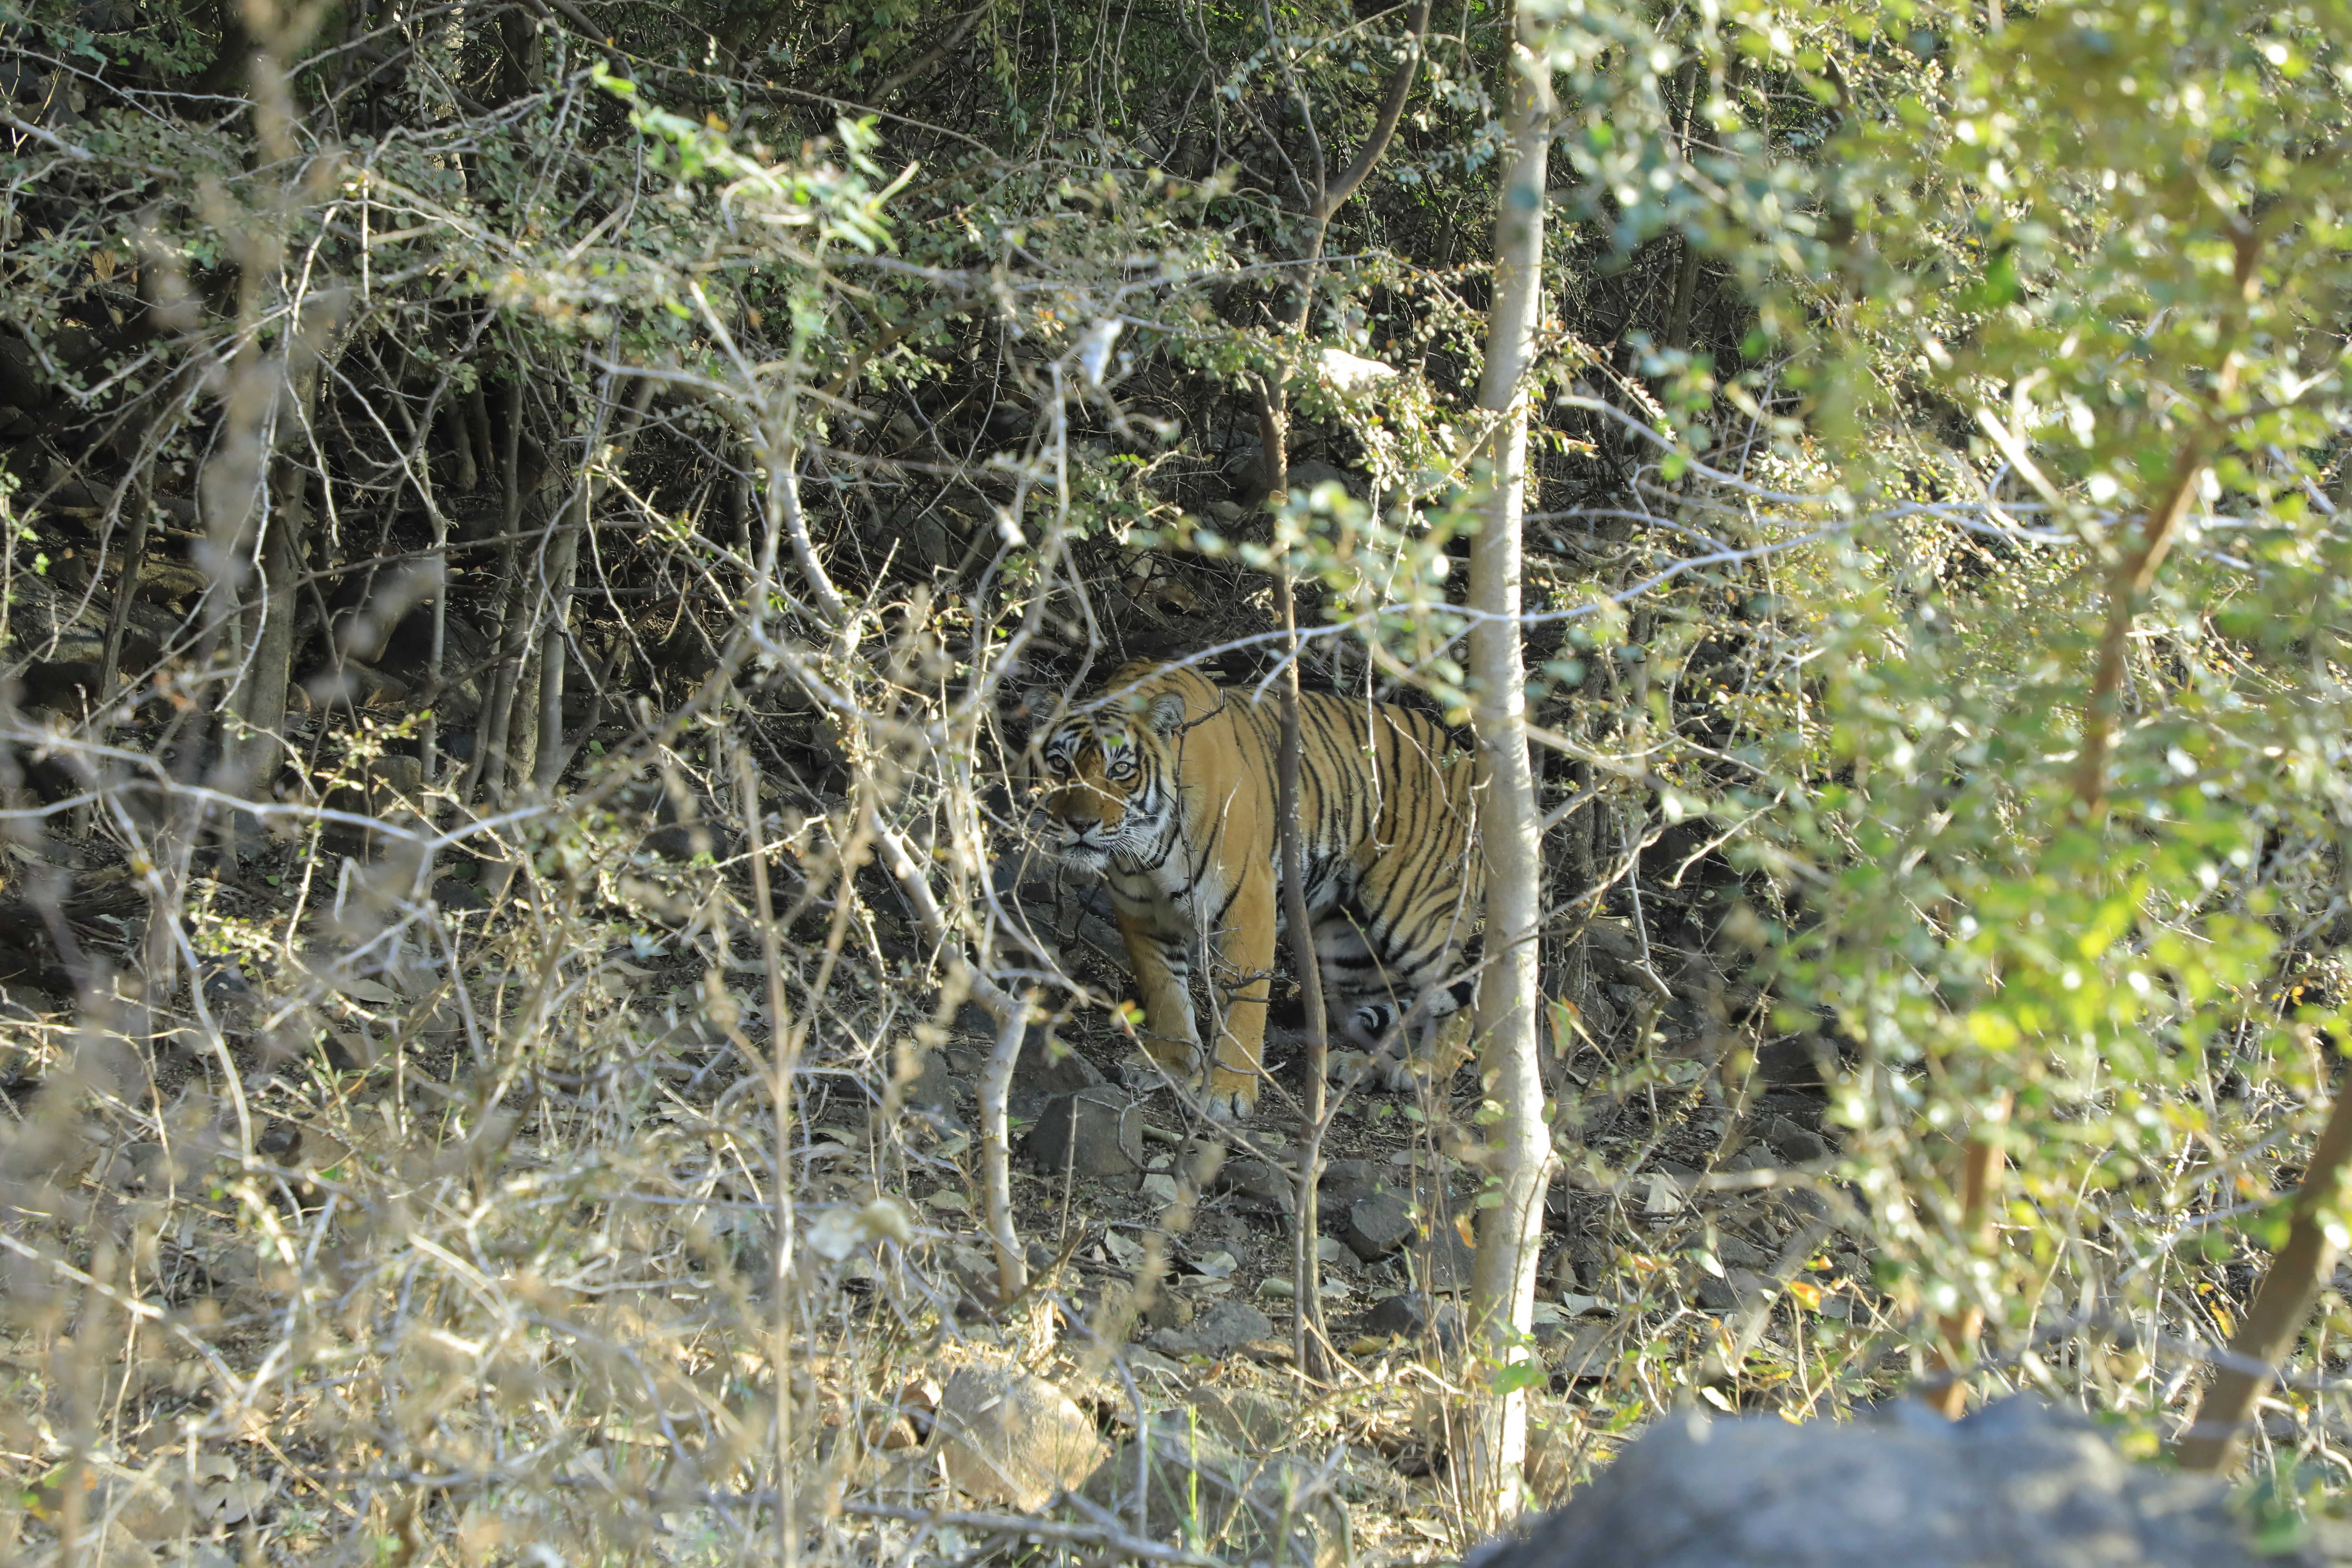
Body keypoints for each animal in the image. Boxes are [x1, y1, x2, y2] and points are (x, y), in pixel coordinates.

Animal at [1032, 660, 1483, 1121]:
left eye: (1120, 770)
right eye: (1059, 764)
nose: (1080, 824)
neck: (1147, 849)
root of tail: (1466, 759)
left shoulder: (1248, 902)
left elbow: (1245, 1003)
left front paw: (1228, 1091)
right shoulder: (1140, 914)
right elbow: (1164, 993)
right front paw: (1171, 1064)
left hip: (1411, 908)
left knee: (1462, 988)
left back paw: (1423, 1069)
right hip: (1348, 946)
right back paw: (1361, 1064)